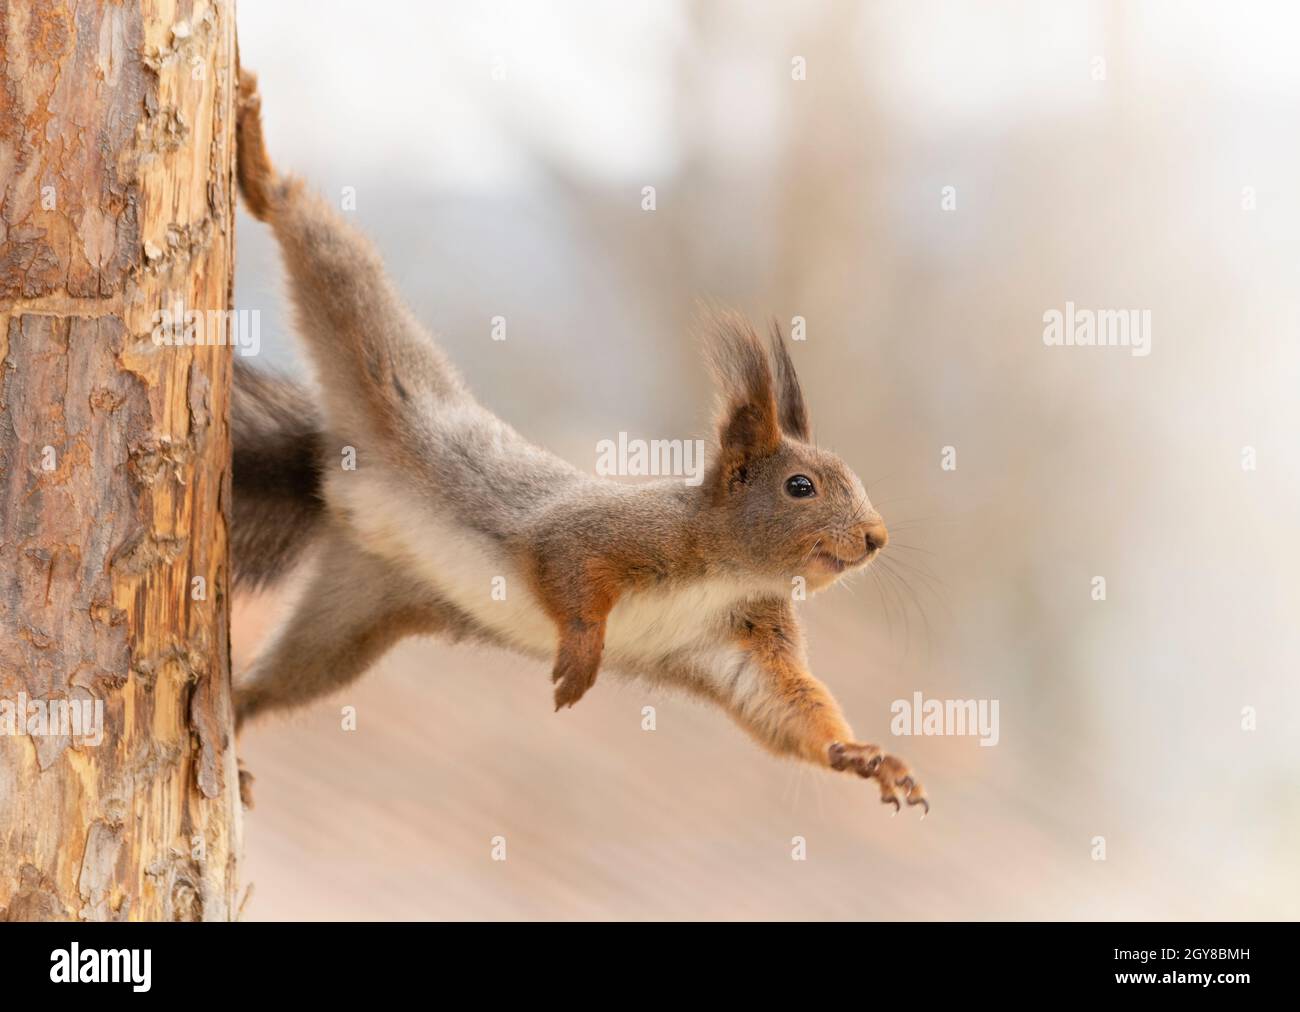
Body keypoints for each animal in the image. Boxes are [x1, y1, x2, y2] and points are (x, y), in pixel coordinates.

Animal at [231, 70, 928, 817]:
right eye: (801, 487)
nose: (877, 538)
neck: (731, 570)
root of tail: (337, 472)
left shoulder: (748, 644)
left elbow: (786, 709)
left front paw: (863, 756)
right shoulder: (607, 532)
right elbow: (566, 565)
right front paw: (582, 656)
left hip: (353, 616)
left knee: (273, 684)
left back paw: (233, 729)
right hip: (378, 359)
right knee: (321, 242)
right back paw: (258, 161)